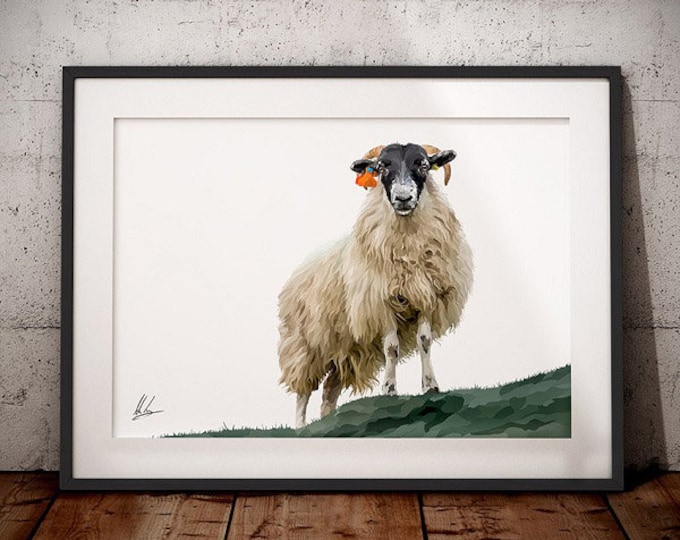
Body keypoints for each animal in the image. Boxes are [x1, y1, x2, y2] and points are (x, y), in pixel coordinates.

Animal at [278, 143, 473, 428]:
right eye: (381, 167)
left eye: (424, 165)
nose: (403, 198)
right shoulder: (381, 303)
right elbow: (391, 348)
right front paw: (389, 389)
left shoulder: (427, 298)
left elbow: (424, 342)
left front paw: (430, 386)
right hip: (306, 343)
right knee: (303, 390)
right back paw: (301, 427)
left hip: (345, 349)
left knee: (329, 391)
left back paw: (328, 422)